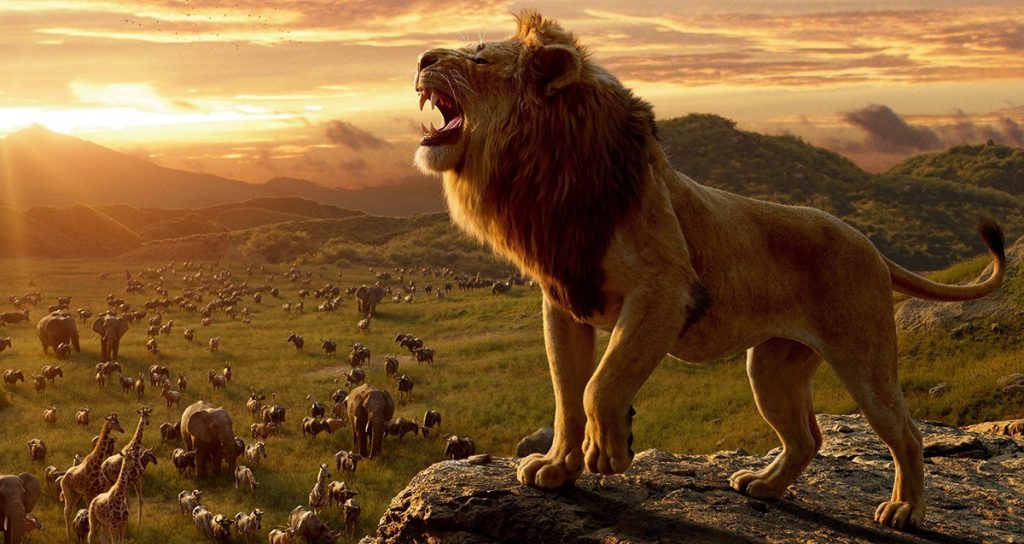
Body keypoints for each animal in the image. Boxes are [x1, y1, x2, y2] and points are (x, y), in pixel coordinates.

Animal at [412, 11, 1005, 530]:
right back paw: (763, 486)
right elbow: (566, 394)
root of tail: (871, 245)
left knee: (905, 432)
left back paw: (905, 509)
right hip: (772, 368)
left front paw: (609, 453)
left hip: (865, 359)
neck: (544, 175)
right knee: (807, 437)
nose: (420, 58)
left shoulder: (665, 290)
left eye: (479, 57)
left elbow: (599, 385)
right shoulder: (564, 300)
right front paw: (557, 469)